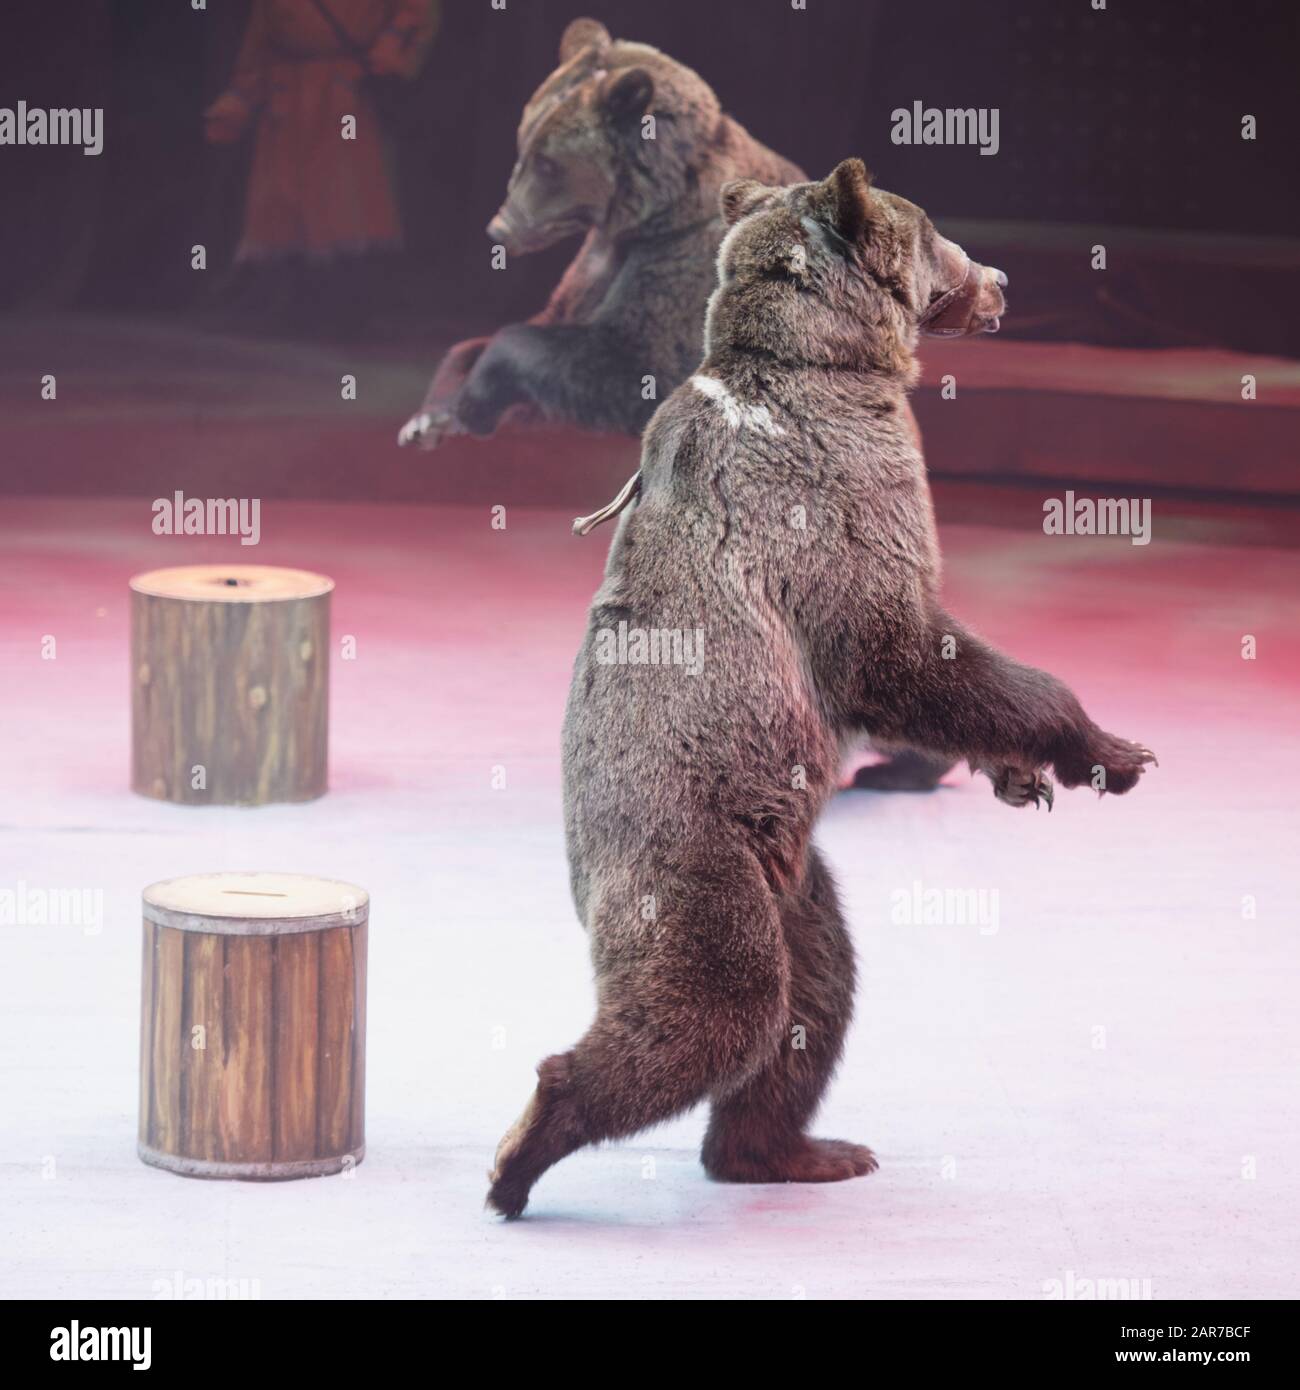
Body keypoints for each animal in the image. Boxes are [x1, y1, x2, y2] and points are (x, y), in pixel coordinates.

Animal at [485, 160, 1155, 1218]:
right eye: (938, 236)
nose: (1003, 277)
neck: (831, 364)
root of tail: (584, 875)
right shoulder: (833, 501)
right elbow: (897, 649)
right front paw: (1106, 749)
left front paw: (1021, 776)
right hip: (693, 864)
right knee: (715, 1012)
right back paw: (521, 1155)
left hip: (796, 883)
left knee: (814, 1003)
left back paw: (791, 1149)